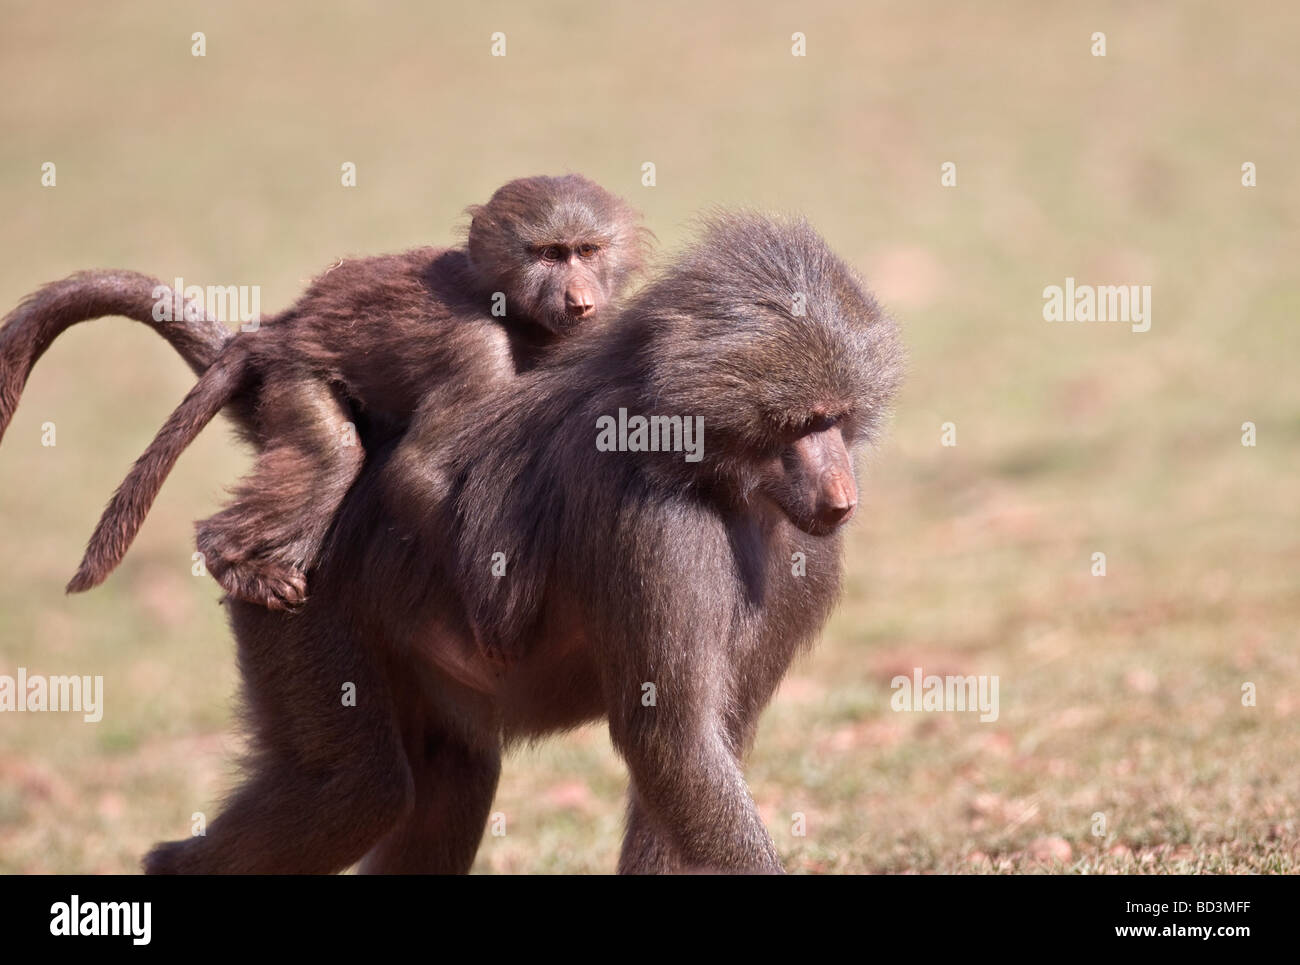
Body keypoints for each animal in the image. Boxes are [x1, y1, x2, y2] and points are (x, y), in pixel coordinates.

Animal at [54, 174, 650, 610]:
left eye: (587, 251)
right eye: (549, 255)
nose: (579, 300)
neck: (505, 304)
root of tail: (280, 329)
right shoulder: (474, 350)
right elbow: (416, 470)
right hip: (297, 375)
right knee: (332, 458)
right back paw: (230, 557)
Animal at [136, 210, 903, 874]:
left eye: (835, 418)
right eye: (801, 423)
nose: (841, 495)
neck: (720, 479)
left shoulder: (807, 554)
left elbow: (702, 754)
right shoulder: (653, 526)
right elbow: (677, 749)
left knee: (448, 774)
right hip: (301, 599)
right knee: (354, 792)